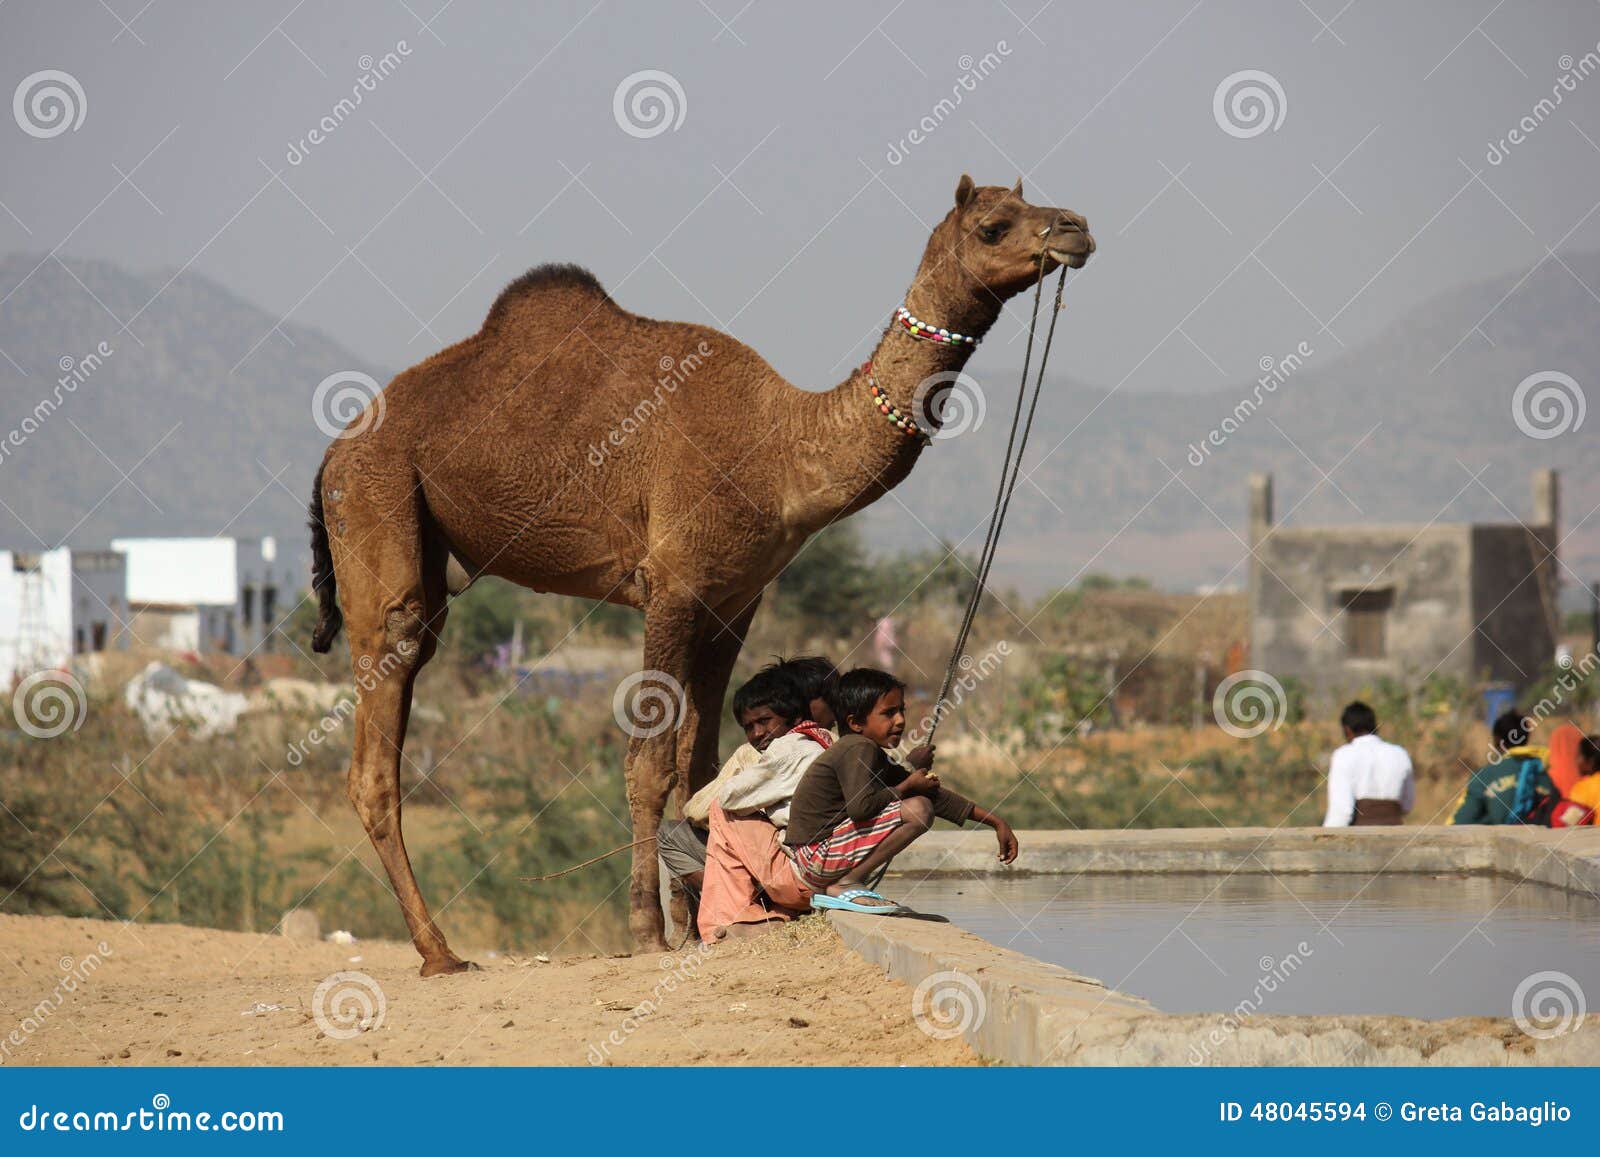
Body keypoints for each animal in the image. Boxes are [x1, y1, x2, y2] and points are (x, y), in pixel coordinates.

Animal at [307, 174, 1094, 973]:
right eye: (995, 226)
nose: (1075, 229)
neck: (780, 451)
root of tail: (335, 451)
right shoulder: (672, 584)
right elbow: (649, 763)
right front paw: (648, 929)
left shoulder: (732, 600)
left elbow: (705, 762)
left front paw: (694, 919)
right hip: (377, 499)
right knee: (381, 724)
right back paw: (439, 950)